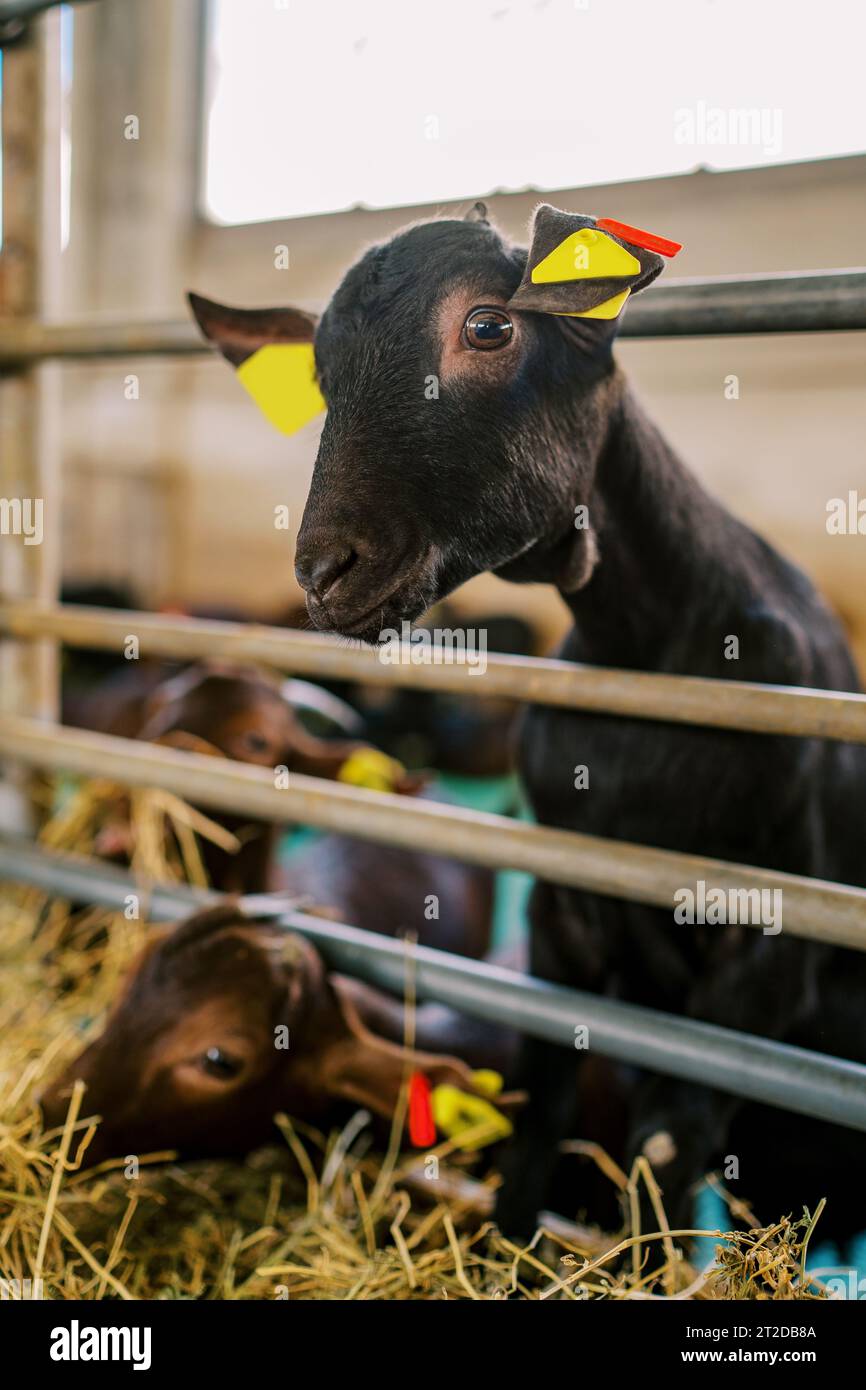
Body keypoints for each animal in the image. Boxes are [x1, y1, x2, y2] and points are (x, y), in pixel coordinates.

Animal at [188, 205, 866, 1239]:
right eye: (317, 374)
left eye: (488, 326)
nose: (325, 571)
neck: (651, 642)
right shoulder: (562, 903)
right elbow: (545, 1088)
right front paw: (511, 1230)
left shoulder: (772, 937)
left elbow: (665, 1144)